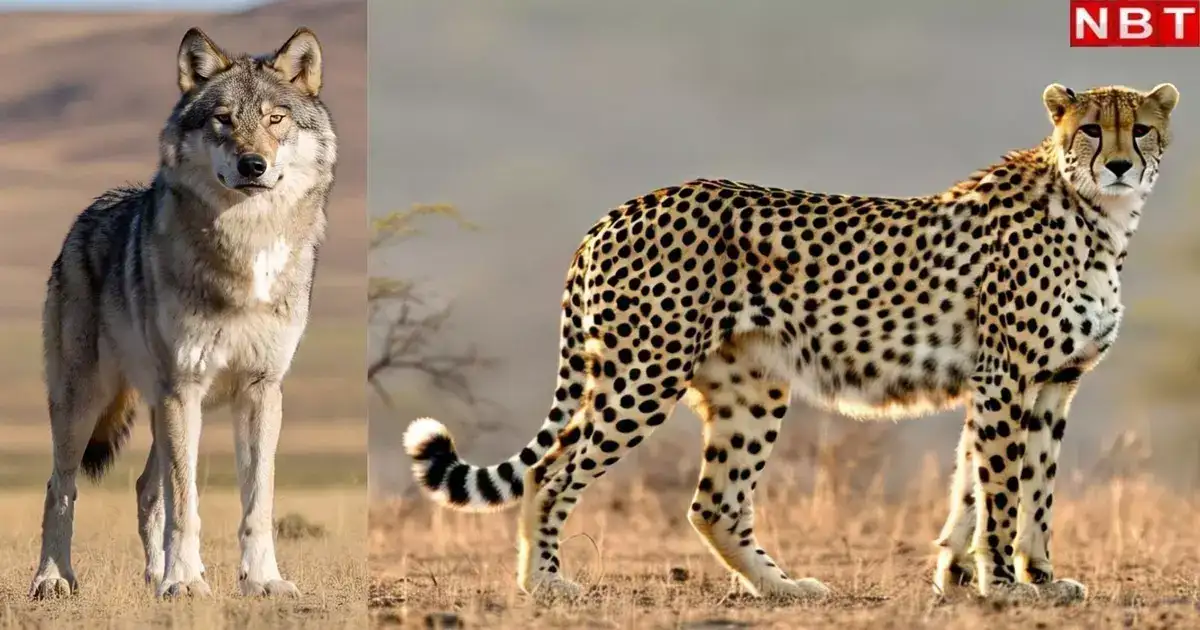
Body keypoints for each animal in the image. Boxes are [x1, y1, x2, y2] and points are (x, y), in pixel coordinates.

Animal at [29, 27, 337, 600]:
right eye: (223, 119)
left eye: (275, 119)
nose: (253, 165)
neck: (248, 249)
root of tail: (84, 215)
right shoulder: (184, 386)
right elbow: (187, 501)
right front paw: (187, 582)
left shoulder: (262, 389)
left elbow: (256, 503)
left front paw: (263, 581)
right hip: (84, 403)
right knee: (60, 487)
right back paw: (54, 579)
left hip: (155, 408)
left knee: (145, 489)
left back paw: (153, 577)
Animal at [402, 83, 1179, 604]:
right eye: (1090, 130)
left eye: (1140, 129)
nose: (1118, 165)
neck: (1098, 217)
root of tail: (621, 210)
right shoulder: (1007, 381)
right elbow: (1004, 491)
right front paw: (1003, 587)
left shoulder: (1046, 384)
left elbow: (1014, 489)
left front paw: (1005, 579)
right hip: (641, 375)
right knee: (553, 473)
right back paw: (545, 585)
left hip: (748, 387)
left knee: (712, 502)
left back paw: (783, 589)